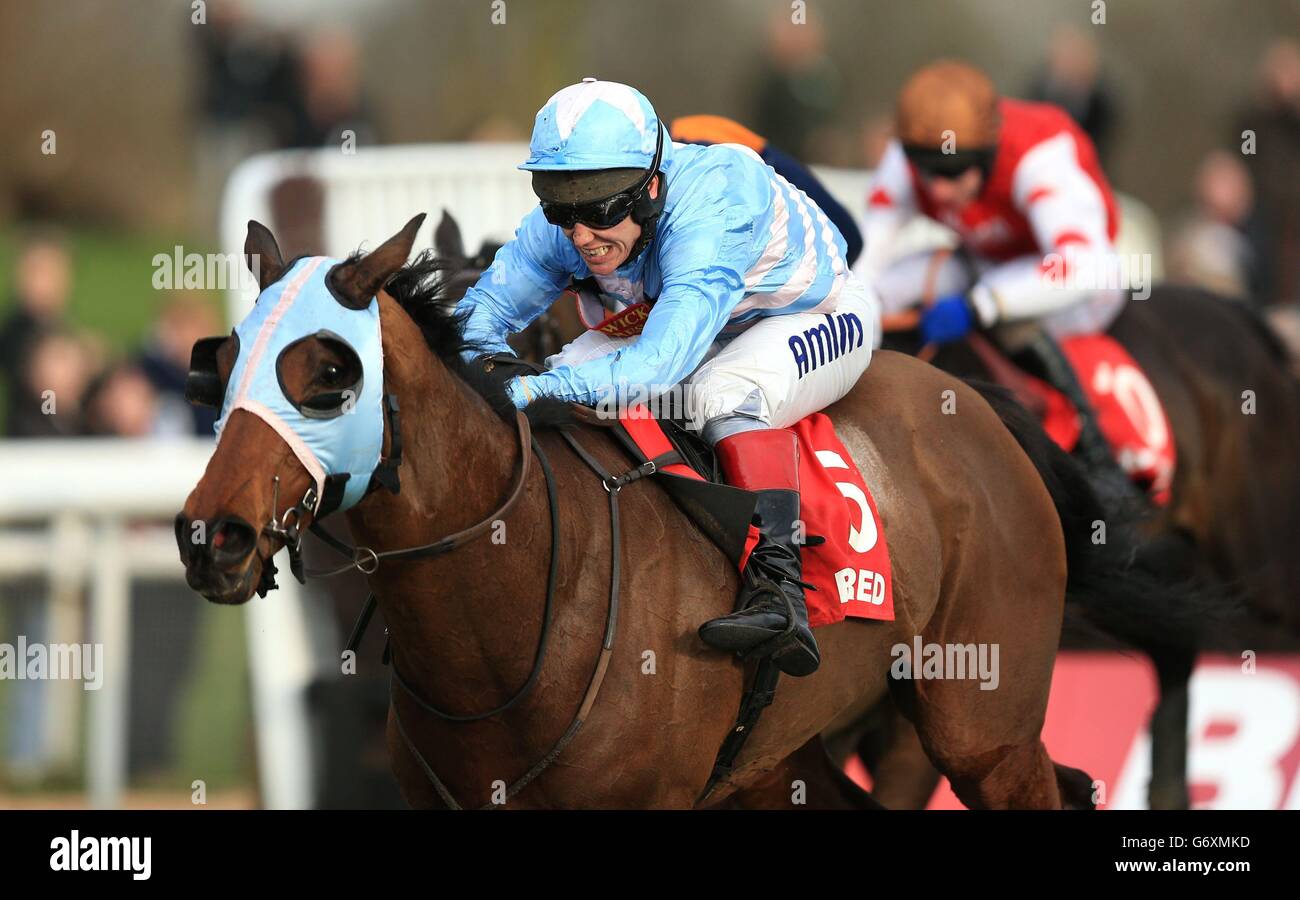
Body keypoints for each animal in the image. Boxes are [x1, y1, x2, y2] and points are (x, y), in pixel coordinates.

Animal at [176, 214, 1192, 809]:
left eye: (331, 373)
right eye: (220, 361)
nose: (211, 534)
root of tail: (982, 409)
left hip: (982, 729)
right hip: (786, 762)